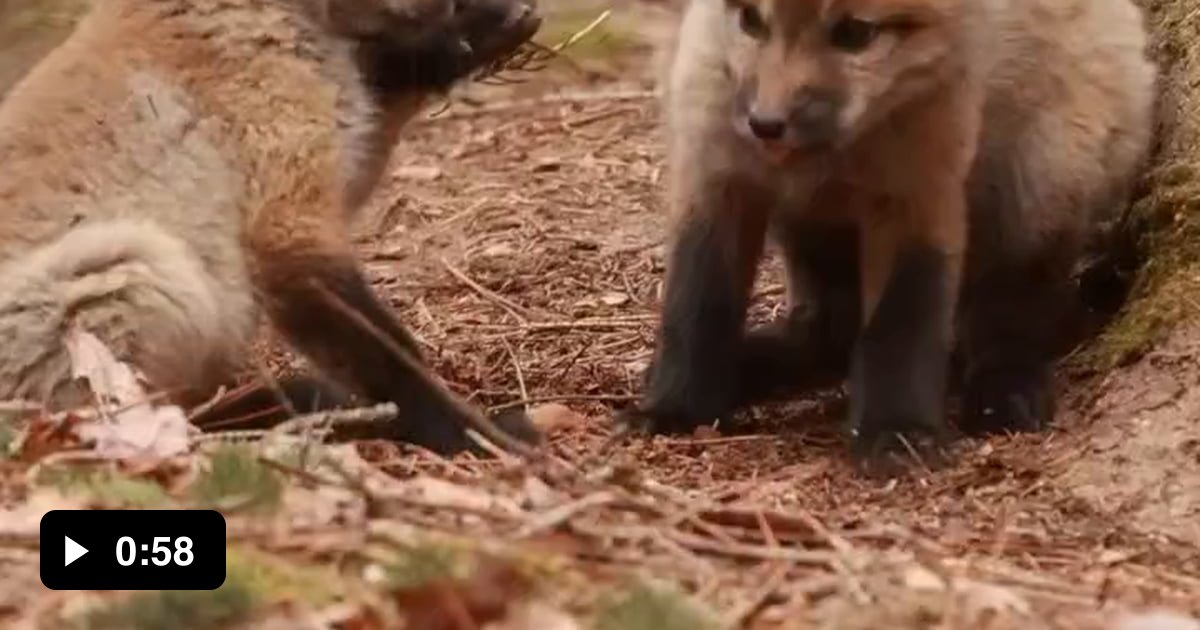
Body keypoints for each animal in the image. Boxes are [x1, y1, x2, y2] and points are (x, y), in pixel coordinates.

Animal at [0, 0, 544, 454]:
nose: (521, 8)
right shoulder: (287, 225)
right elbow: (393, 360)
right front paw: (475, 436)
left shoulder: (341, 156)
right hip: (135, 265)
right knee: (160, 420)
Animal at [627, 0, 1157, 471]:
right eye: (750, 19)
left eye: (855, 33)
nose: (766, 124)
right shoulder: (715, 172)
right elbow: (697, 307)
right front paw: (675, 408)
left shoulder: (921, 191)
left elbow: (902, 324)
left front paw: (896, 431)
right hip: (809, 230)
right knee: (828, 333)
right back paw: (754, 365)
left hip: (1040, 181)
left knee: (1013, 311)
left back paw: (1006, 391)